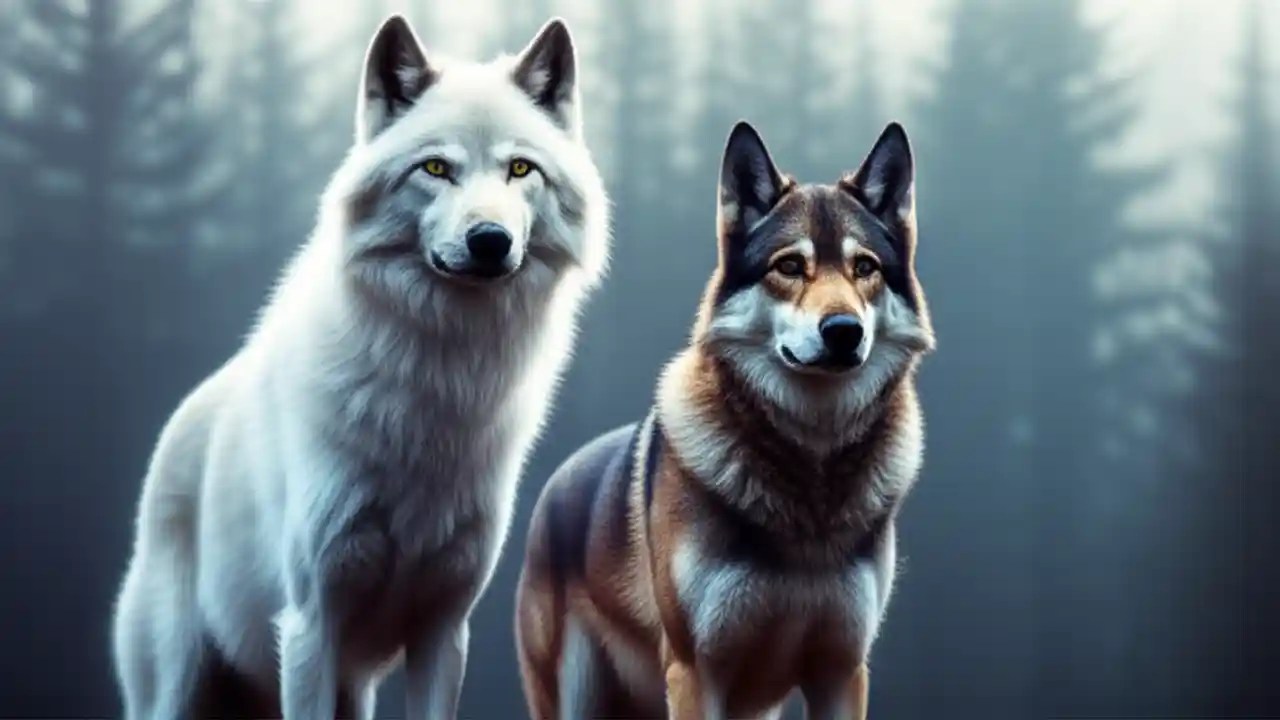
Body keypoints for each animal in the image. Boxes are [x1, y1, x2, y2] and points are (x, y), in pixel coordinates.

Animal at [111, 14, 608, 720]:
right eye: (436, 168)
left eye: (520, 169)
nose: (490, 240)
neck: (440, 382)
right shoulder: (311, 626)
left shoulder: (443, 631)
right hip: (177, 688)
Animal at [515, 121, 934, 720]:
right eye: (789, 266)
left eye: (865, 269)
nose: (843, 331)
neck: (811, 471)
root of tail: (558, 478)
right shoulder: (696, 671)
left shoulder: (842, 671)